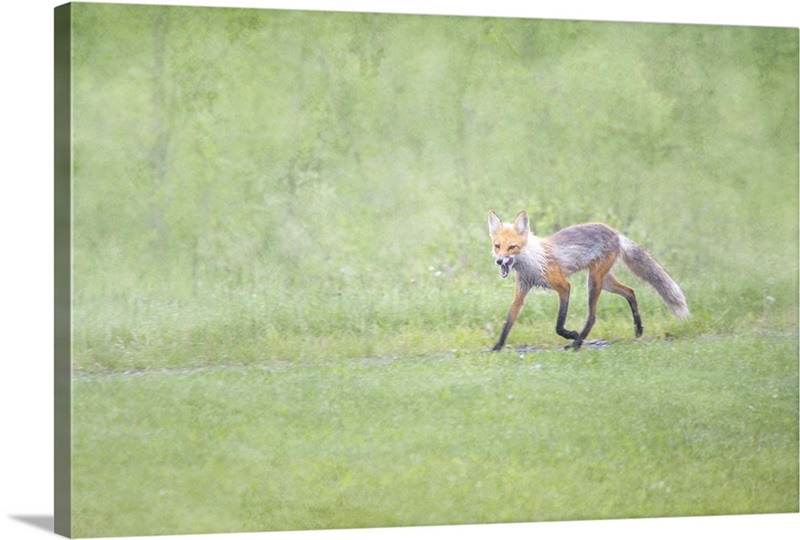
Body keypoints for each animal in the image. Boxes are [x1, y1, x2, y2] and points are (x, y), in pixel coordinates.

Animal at [488, 210, 689, 351]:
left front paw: (570, 334)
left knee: (592, 317)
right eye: (497, 246)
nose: (499, 261)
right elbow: (508, 322)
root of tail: (615, 232)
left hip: (594, 282)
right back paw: (638, 328)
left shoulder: (563, 286)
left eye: (512, 247)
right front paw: (497, 346)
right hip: (605, 282)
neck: (532, 261)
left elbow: (558, 325)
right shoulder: (521, 290)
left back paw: (576, 343)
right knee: (631, 291)